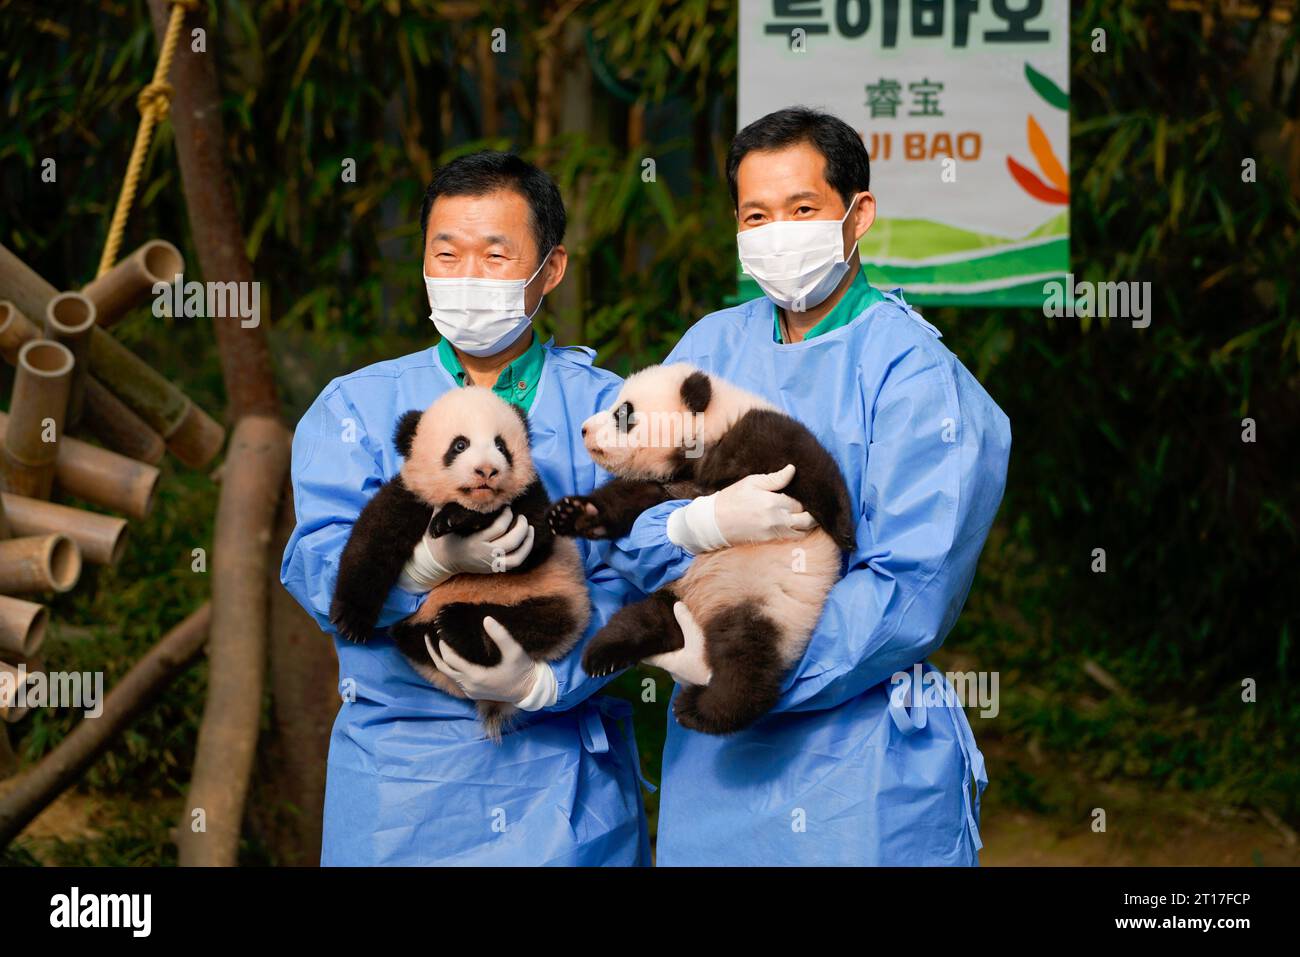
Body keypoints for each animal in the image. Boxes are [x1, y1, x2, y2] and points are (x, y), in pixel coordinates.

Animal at [329, 386, 590, 740]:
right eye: (460, 445)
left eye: (500, 445)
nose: (486, 471)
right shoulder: (411, 496)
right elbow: (373, 540)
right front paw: (351, 620)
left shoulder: (530, 497)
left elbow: (533, 541)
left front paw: (459, 518)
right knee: (415, 636)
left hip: (559, 598)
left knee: (535, 622)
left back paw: (456, 625)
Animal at [546, 363, 855, 735]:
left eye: (623, 413)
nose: (585, 429)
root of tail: (701, 617)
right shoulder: (667, 483)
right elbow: (628, 502)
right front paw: (573, 514)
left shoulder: (753, 434)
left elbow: (809, 465)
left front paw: (845, 533)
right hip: (675, 596)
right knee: (645, 621)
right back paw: (604, 653)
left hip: (767, 602)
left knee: (745, 657)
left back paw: (705, 708)